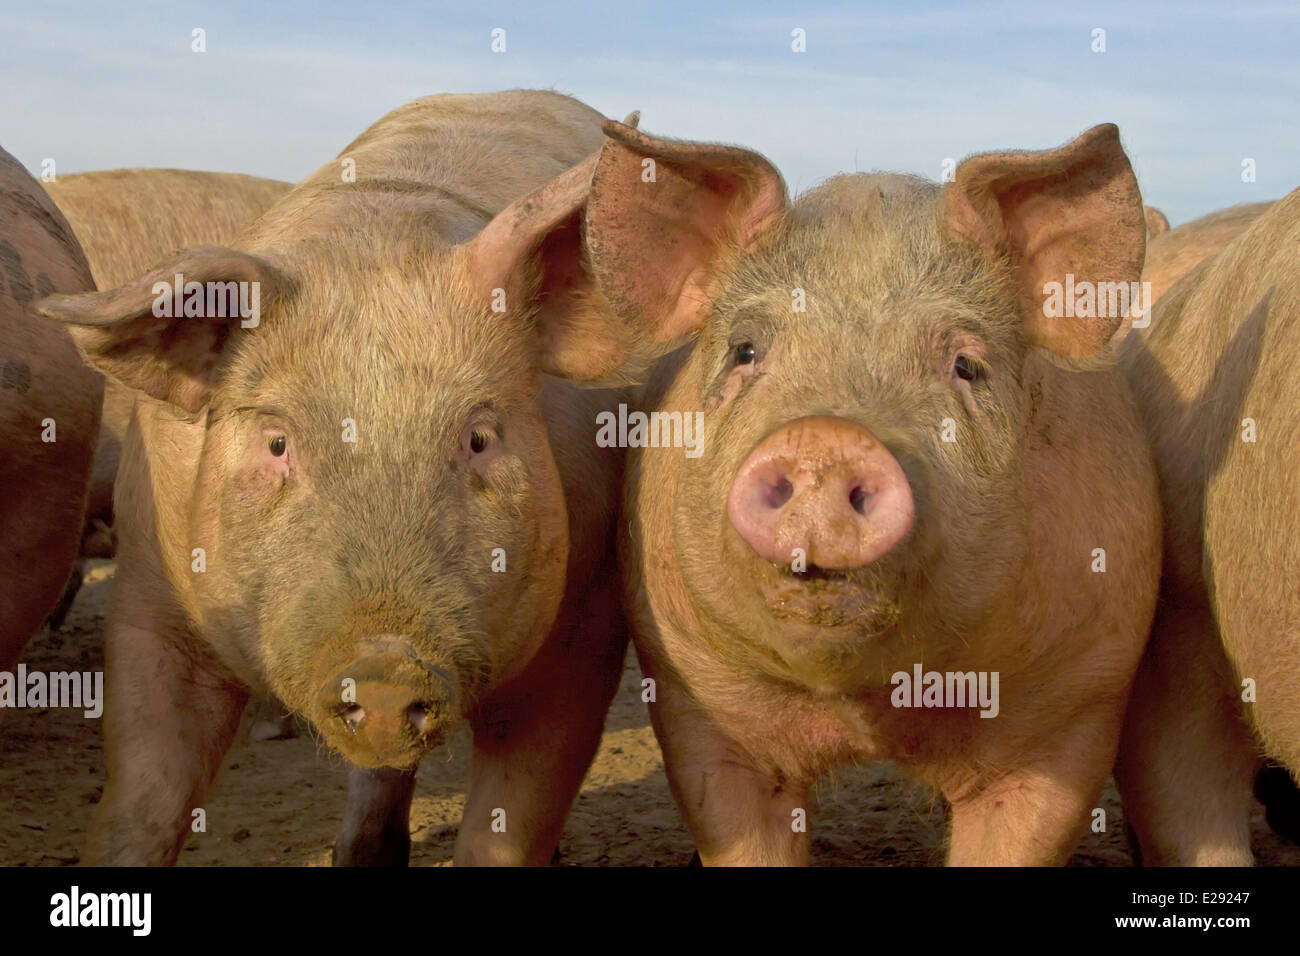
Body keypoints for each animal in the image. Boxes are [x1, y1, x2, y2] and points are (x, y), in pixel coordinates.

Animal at [583, 121, 1162, 864]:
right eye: (745, 351)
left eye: (966, 365)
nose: (828, 438)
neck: (868, 708)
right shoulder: (695, 693)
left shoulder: (1079, 698)